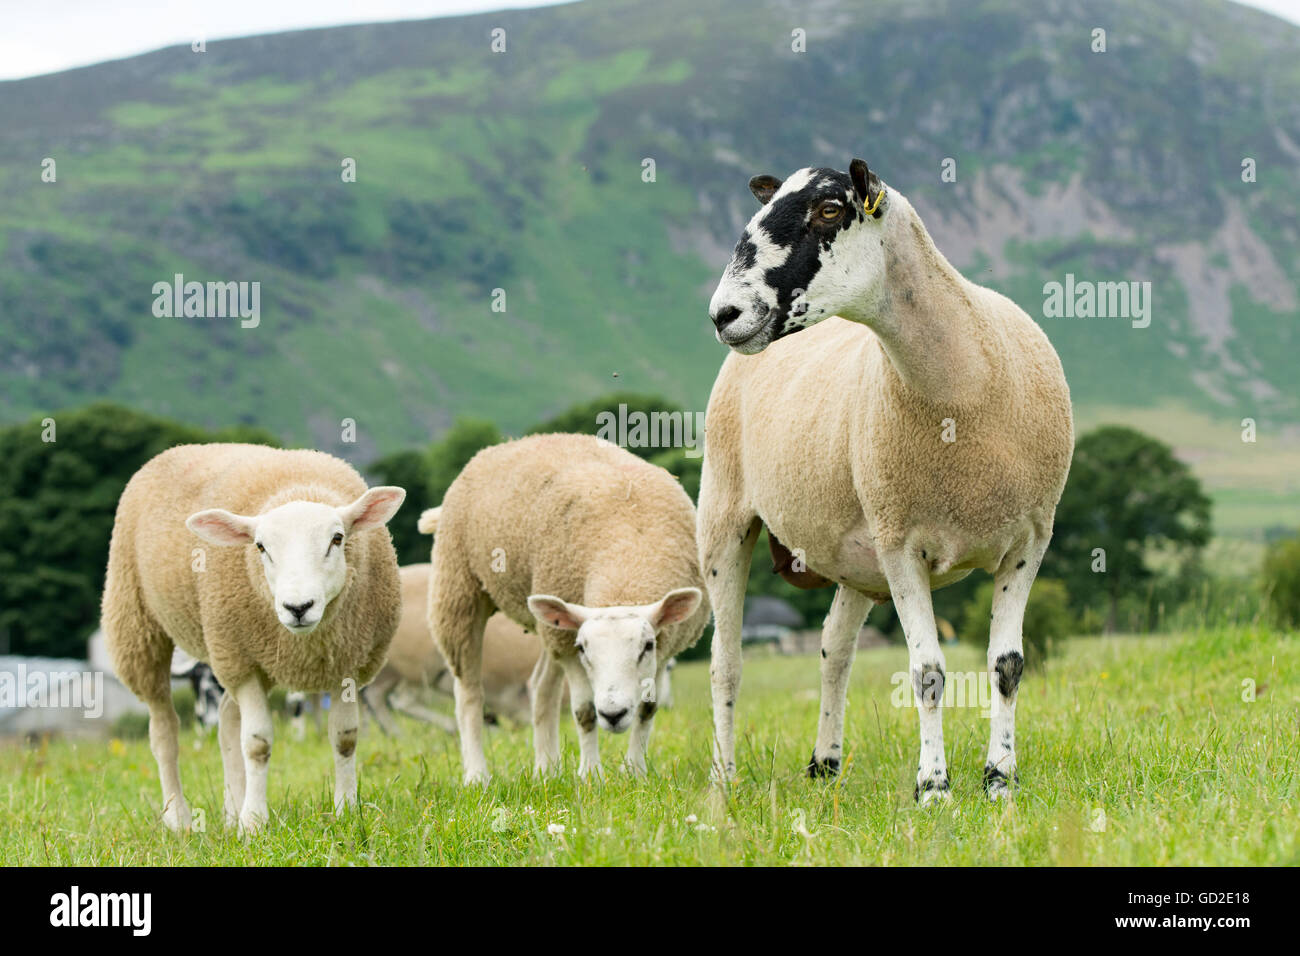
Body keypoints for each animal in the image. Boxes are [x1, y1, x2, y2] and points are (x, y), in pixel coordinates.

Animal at [102, 443, 405, 834]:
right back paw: (178, 817)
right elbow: (258, 744)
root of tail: (176, 450)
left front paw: (346, 812)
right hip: (142, 630)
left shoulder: (347, 662)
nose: (297, 607)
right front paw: (254, 823)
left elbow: (345, 738)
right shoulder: (243, 661)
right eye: (260, 547)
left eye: (337, 539)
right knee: (165, 731)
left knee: (227, 723)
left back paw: (231, 811)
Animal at [424, 433, 708, 783]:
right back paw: (477, 775)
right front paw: (591, 776)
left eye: (647, 646)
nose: (613, 714)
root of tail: (499, 447)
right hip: (459, 591)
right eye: (584, 649)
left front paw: (634, 772)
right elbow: (584, 713)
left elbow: (647, 708)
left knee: (540, 687)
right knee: (469, 694)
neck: (626, 559)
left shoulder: (666, 646)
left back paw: (546, 770)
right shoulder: (569, 648)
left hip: (552, 618)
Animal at [702, 159, 1073, 803]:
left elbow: (1007, 666)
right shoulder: (902, 546)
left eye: (829, 210)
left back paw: (825, 764)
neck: (960, 387)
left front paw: (1000, 778)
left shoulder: (1029, 542)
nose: (724, 314)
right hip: (725, 514)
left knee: (835, 649)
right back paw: (725, 779)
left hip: (856, 550)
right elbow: (928, 673)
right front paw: (933, 786)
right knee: (727, 662)